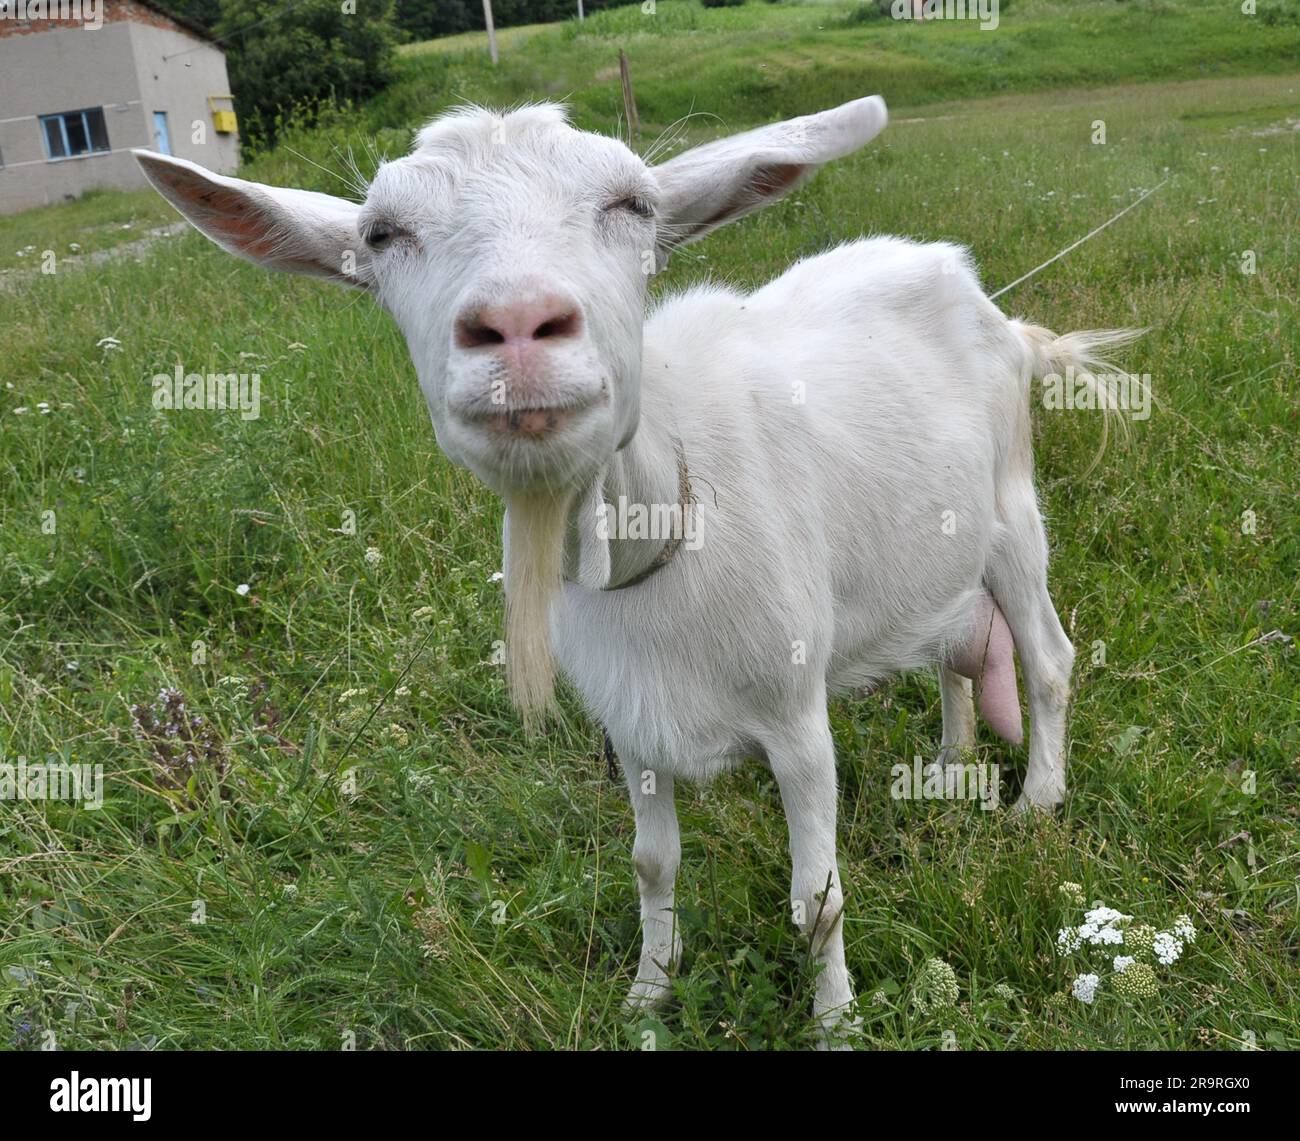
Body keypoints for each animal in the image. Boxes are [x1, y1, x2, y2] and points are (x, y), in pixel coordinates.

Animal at [133, 97, 1133, 1043]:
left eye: (633, 205)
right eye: (381, 234)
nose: (518, 325)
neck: (665, 519)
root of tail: (983, 297)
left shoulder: (796, 717)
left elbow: (817, 899)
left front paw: (837, 1023)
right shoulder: (631, 720)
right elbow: (652, 862)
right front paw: (647, 994)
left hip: (1012, 515)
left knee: (1047, 657)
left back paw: (1037, 801)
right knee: (951, 647)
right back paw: (952, 757)